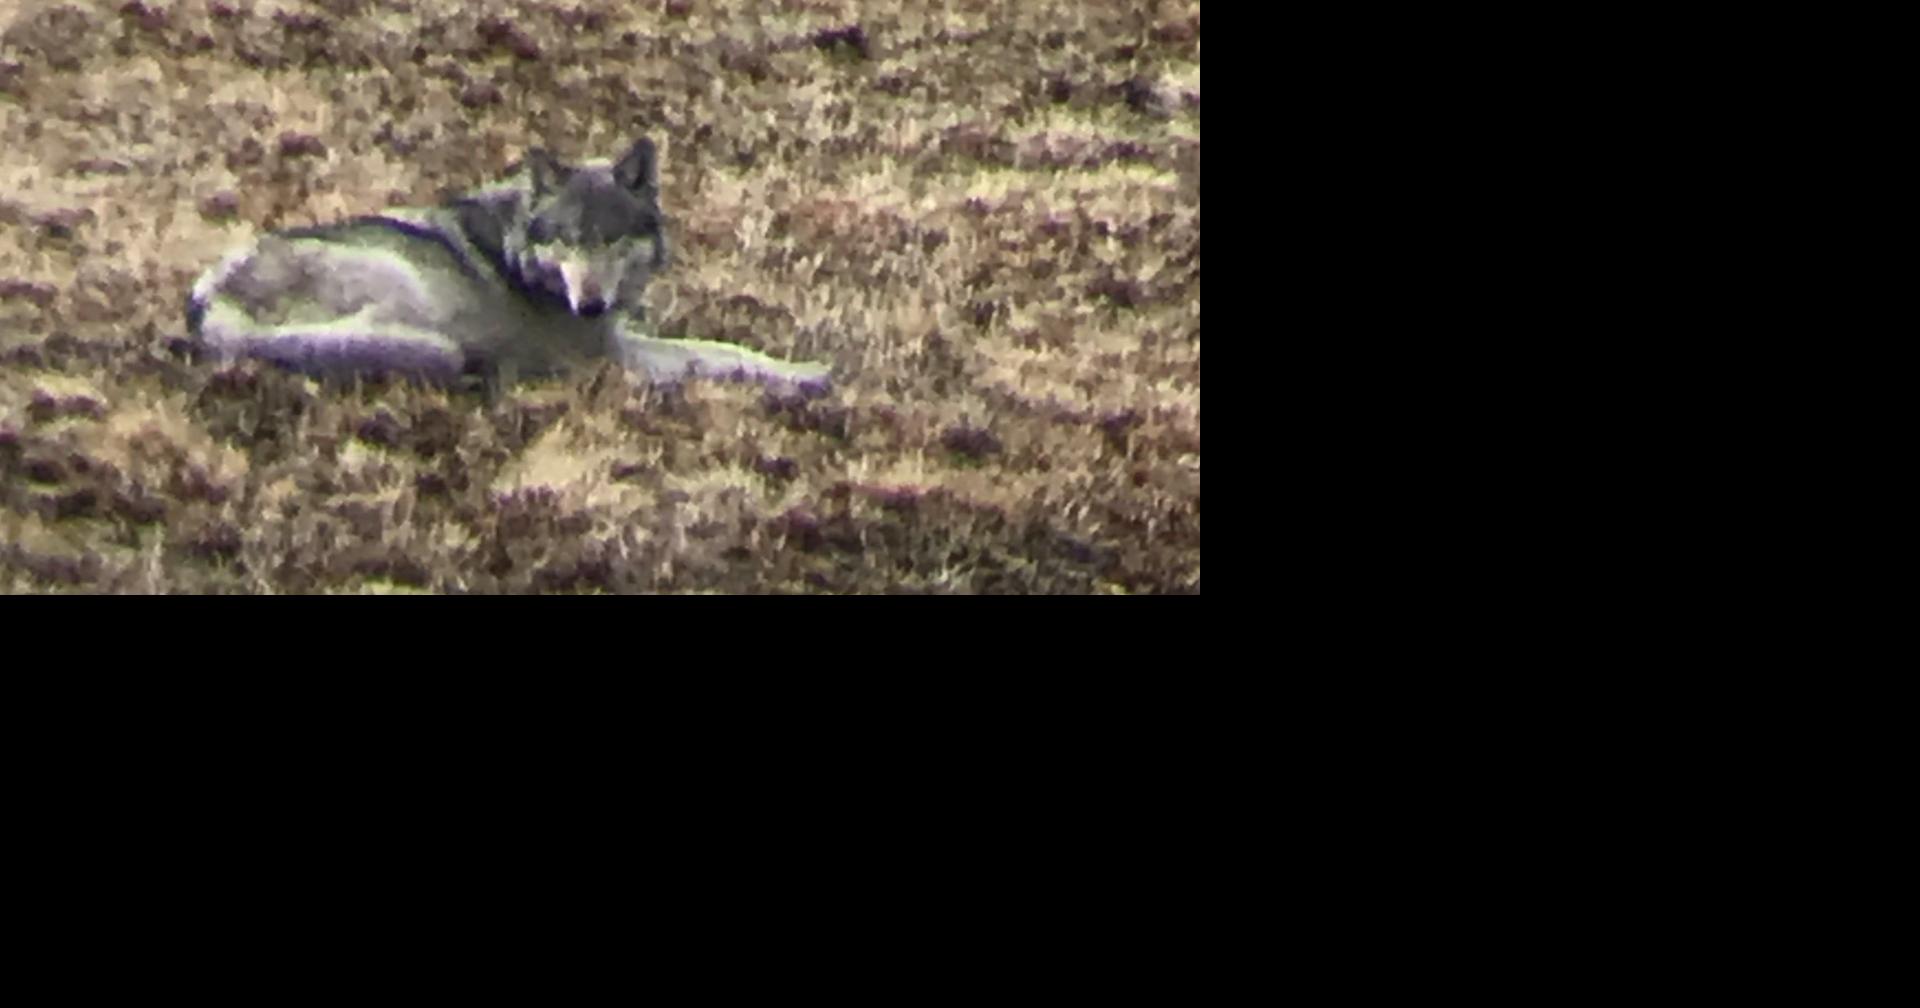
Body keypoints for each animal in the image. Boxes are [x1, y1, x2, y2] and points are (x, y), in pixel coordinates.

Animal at [187, 137, 831, 394]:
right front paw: (806, 377)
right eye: (567, 240)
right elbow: (716, 356)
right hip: (409, 292)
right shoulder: (610, 356)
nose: (589, 304)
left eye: (611, 239)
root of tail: (205, 306)